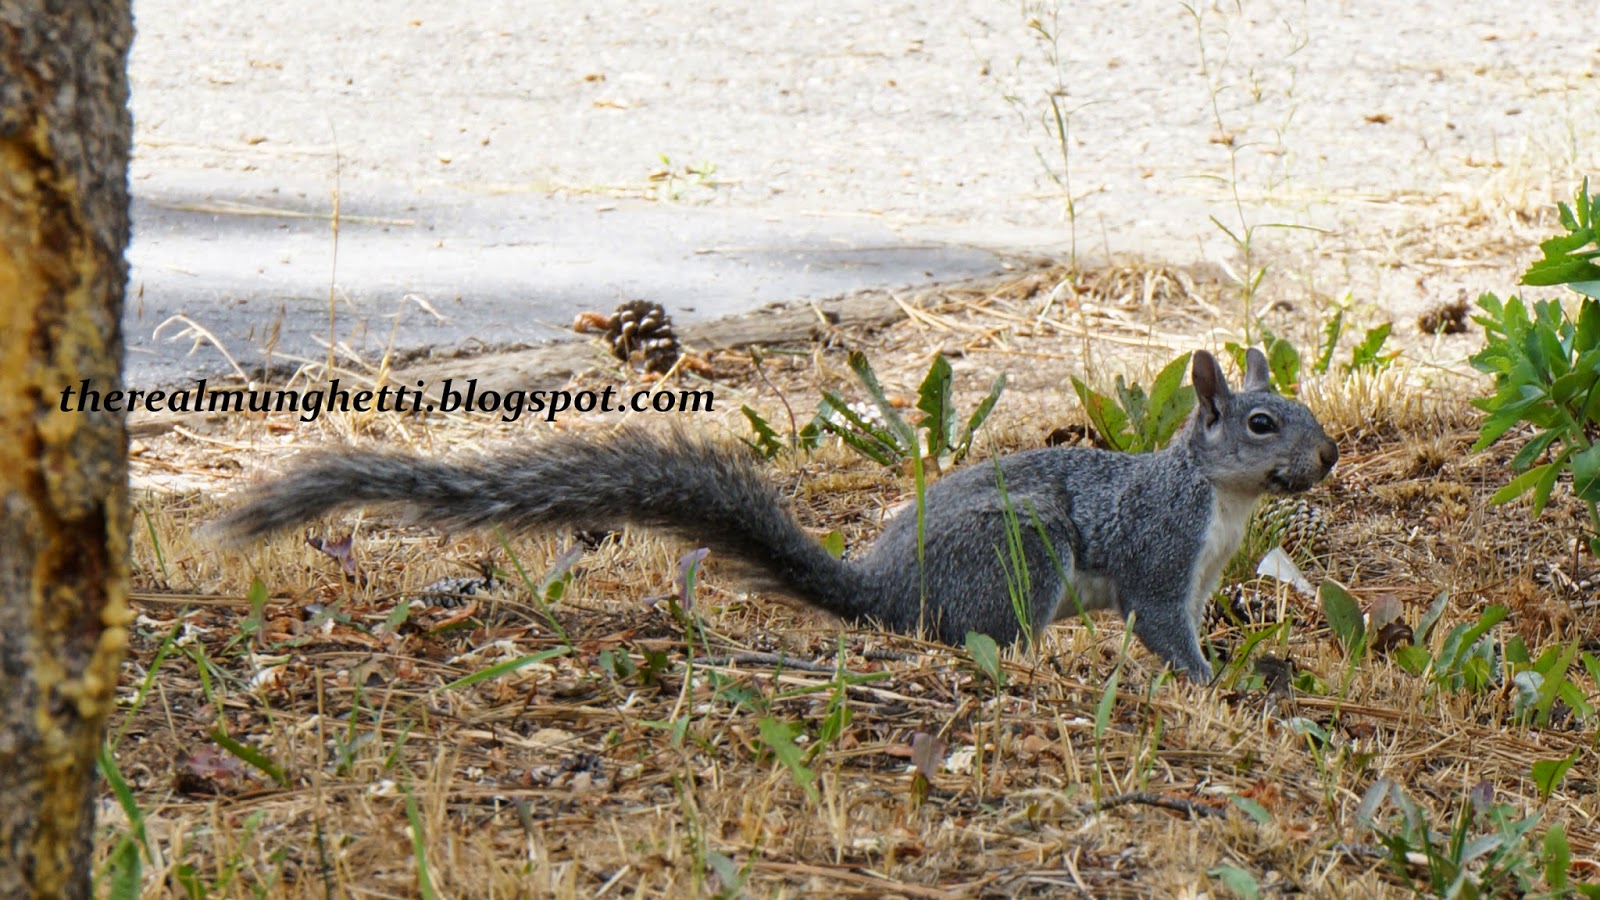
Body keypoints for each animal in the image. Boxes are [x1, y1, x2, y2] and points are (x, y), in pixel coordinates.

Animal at [208, 348, 1337, 682]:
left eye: (1308, 413)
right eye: (1260, 423)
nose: (1327, 457)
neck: (1219, 505)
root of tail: (885, 591)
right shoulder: (1157, 552)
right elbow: (1160, 631)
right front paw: (1215, 686)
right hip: (1020, 555)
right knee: (976, 634)